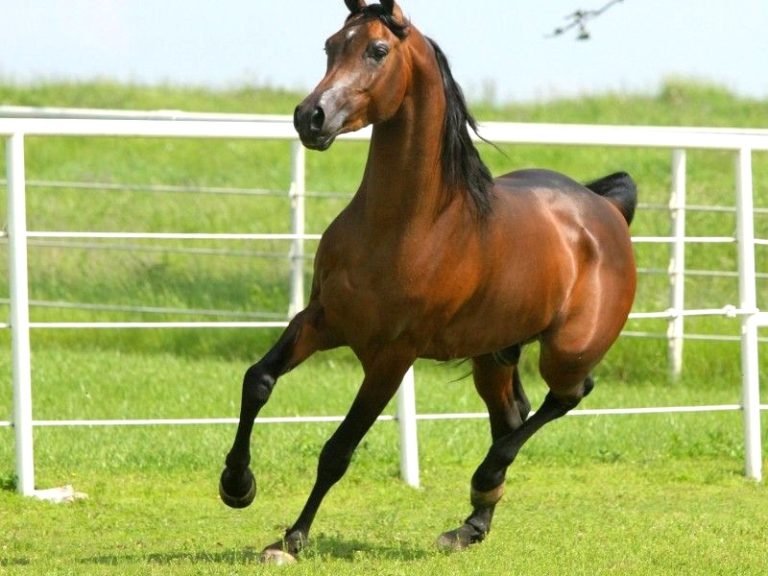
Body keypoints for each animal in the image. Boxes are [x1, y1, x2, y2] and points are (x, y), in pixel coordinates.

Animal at [219, 0, 637, 563]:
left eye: (377, 50)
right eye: (330, 45)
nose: (311, 116)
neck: (405, 226)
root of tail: (606, 209)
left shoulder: (393, 356)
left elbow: (338, 450)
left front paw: (292, 538)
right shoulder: (322, 320)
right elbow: (258, 380)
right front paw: (237, 485)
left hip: (567, 350)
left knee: (567, 396)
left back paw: (485, 480)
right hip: (493, 354)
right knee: (512, 415)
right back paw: (470, 524)